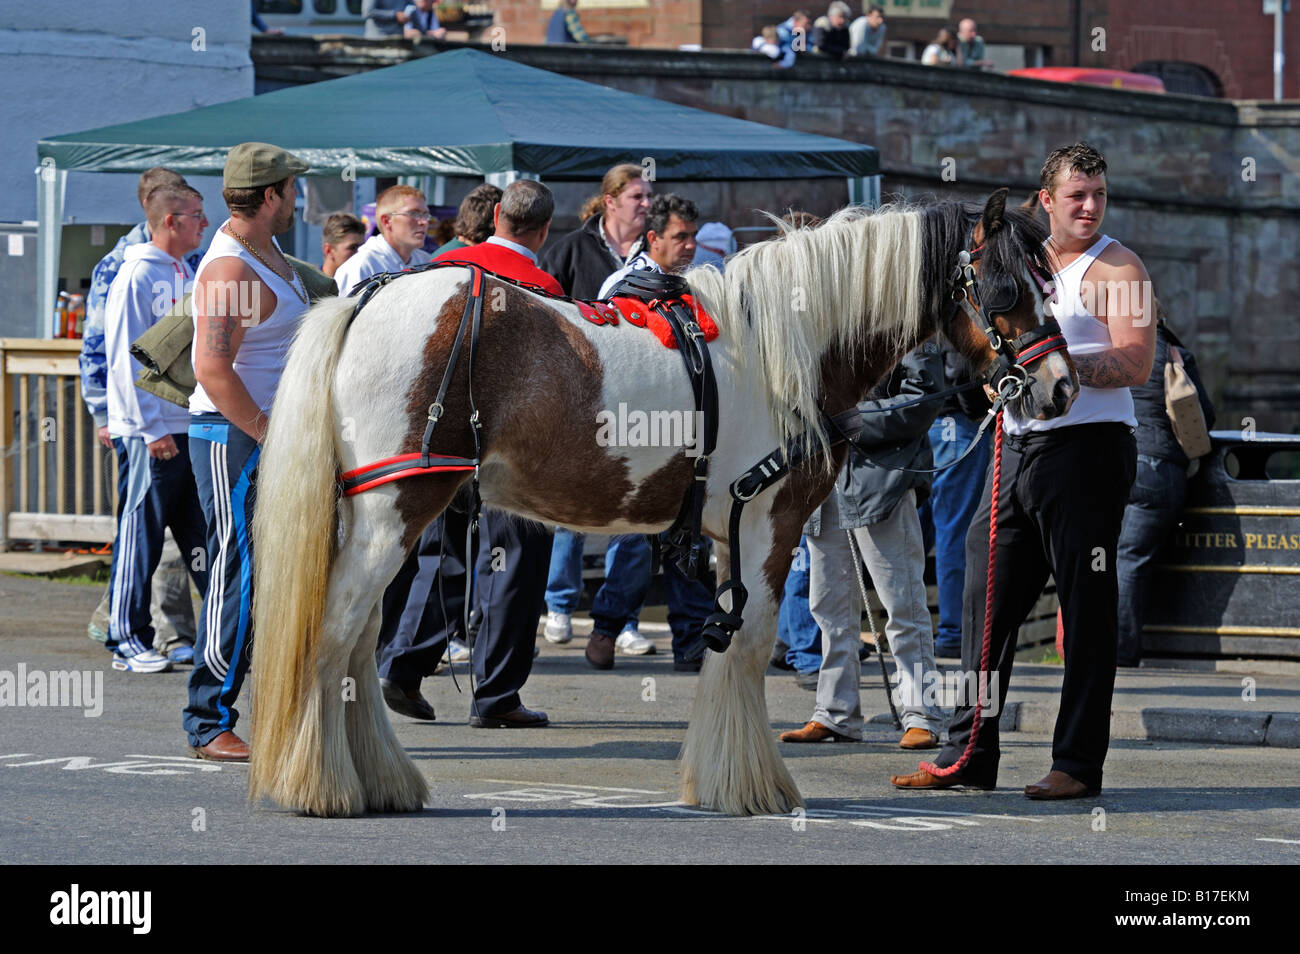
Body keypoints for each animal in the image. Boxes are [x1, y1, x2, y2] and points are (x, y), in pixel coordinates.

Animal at [247, 188, 1078, 818]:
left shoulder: (729, 532)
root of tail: (367, 298)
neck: (781, 350)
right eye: (1008, 288)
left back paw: (377, 780)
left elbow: (726, 644)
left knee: (359, 641)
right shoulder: (770, 524)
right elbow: (750, 645)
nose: (1062, 386)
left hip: (381, 515)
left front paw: (720, 777)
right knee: (336, 634)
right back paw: (324, 786)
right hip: (397, 509)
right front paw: (750, 786)